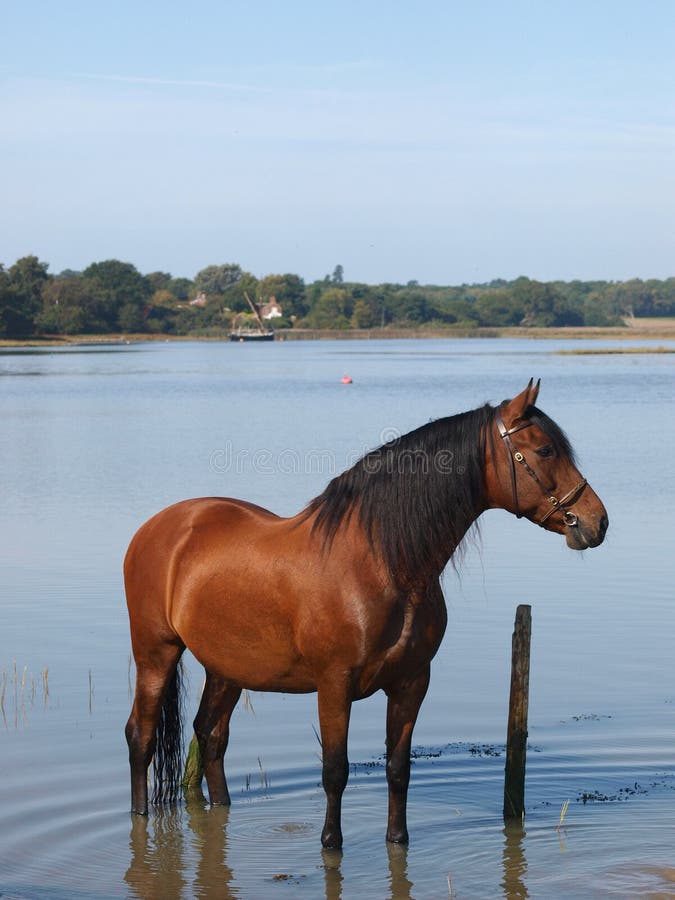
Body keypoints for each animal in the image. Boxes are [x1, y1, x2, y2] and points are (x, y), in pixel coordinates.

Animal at [124, 380, 608, 848]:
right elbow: (335, 771)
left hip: (226, 668)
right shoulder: (334, 686)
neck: (383, 563)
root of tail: (160, 527)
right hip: (156, 655)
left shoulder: (411, 684)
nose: (596, 521)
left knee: (210, 736)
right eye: (545, 450)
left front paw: (398, 839)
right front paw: (330, 843)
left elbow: (398, 769)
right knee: (141, 737)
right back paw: (140, 813)